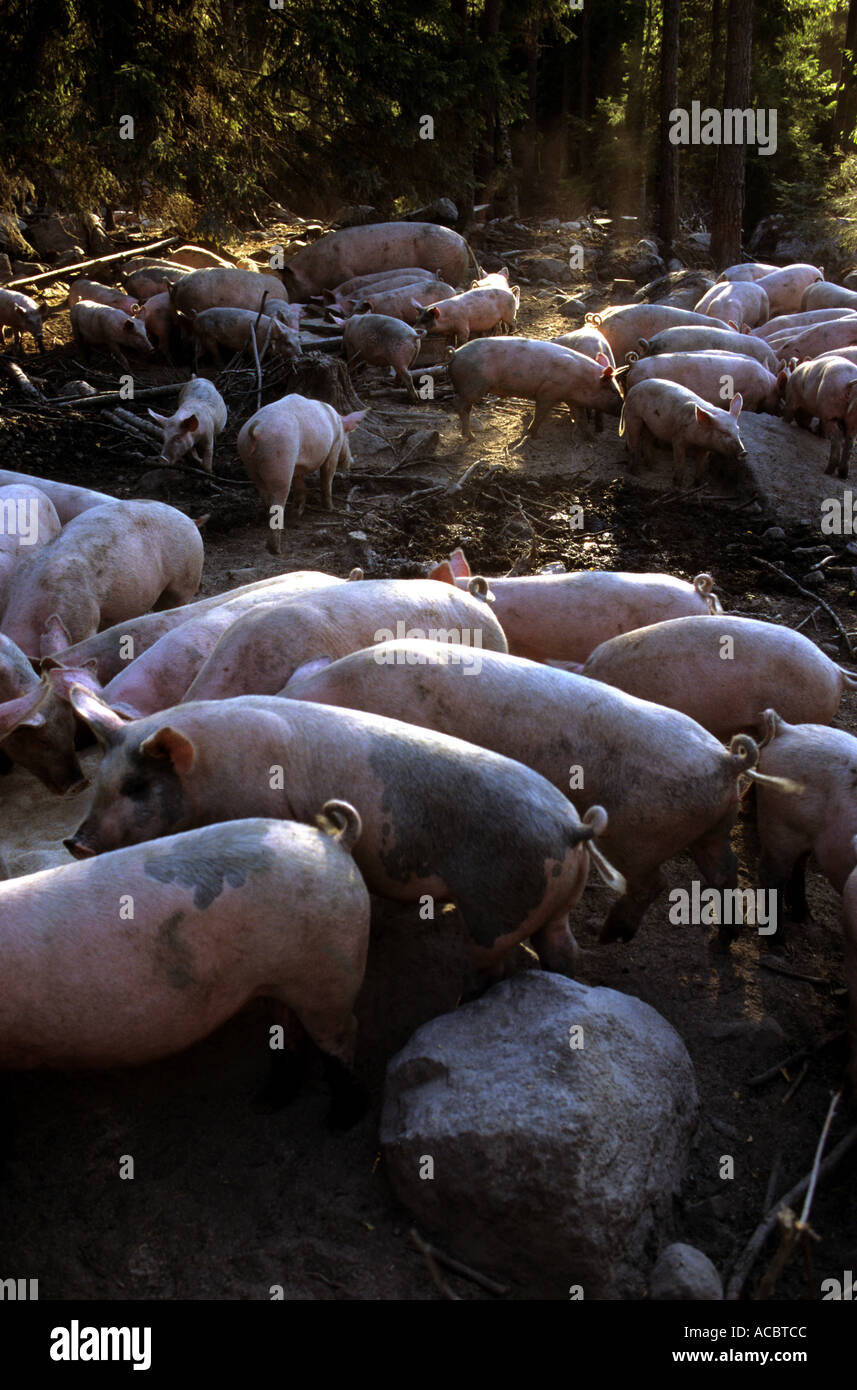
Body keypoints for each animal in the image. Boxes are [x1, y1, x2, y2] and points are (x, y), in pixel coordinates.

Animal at [0, 814, 371, 1124]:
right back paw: (265, 1103)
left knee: (342, 1034)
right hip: (281, 978)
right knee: (288, 1032)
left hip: (326, 972)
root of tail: (334, 841)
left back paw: (338, 1122)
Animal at [65, 690, 624, 982]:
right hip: (555, 905)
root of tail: (573, 827)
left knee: (500, 964)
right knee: (564, 954)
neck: (208, 774)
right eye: (100, 781)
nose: (75, 842)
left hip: (497, 910)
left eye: (136, 787)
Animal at [237, 395, 367, 552]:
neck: (339, 423)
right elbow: (327, 477)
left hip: (248, 460)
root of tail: (256, 429)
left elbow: (300, 486)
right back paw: (276, 549)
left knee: (265, 496)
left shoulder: (297, 466)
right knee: (278, 500)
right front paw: (330, 509)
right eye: (348, 438)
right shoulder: (334, 448)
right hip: (280, 457)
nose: (351, 461)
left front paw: (298, 513)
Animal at [282, 640, 795, 944]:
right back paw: (722, 942)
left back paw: (611, 936)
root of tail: (724, 759)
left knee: (655, 884)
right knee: (726, 873)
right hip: (712, 828)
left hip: (640, 837)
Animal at [448, 337, 622, 441]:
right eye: (614, 391)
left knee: (466, 408)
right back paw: (471, 438)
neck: (581, 380)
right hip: (474, 386)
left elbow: (581, 418)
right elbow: (540, 414)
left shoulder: (572, 399)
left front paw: (592, 439)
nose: (622, 408)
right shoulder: (548, 392)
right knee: (457, 404)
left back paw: (468, 435)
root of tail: (456, 353)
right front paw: (531, 434)